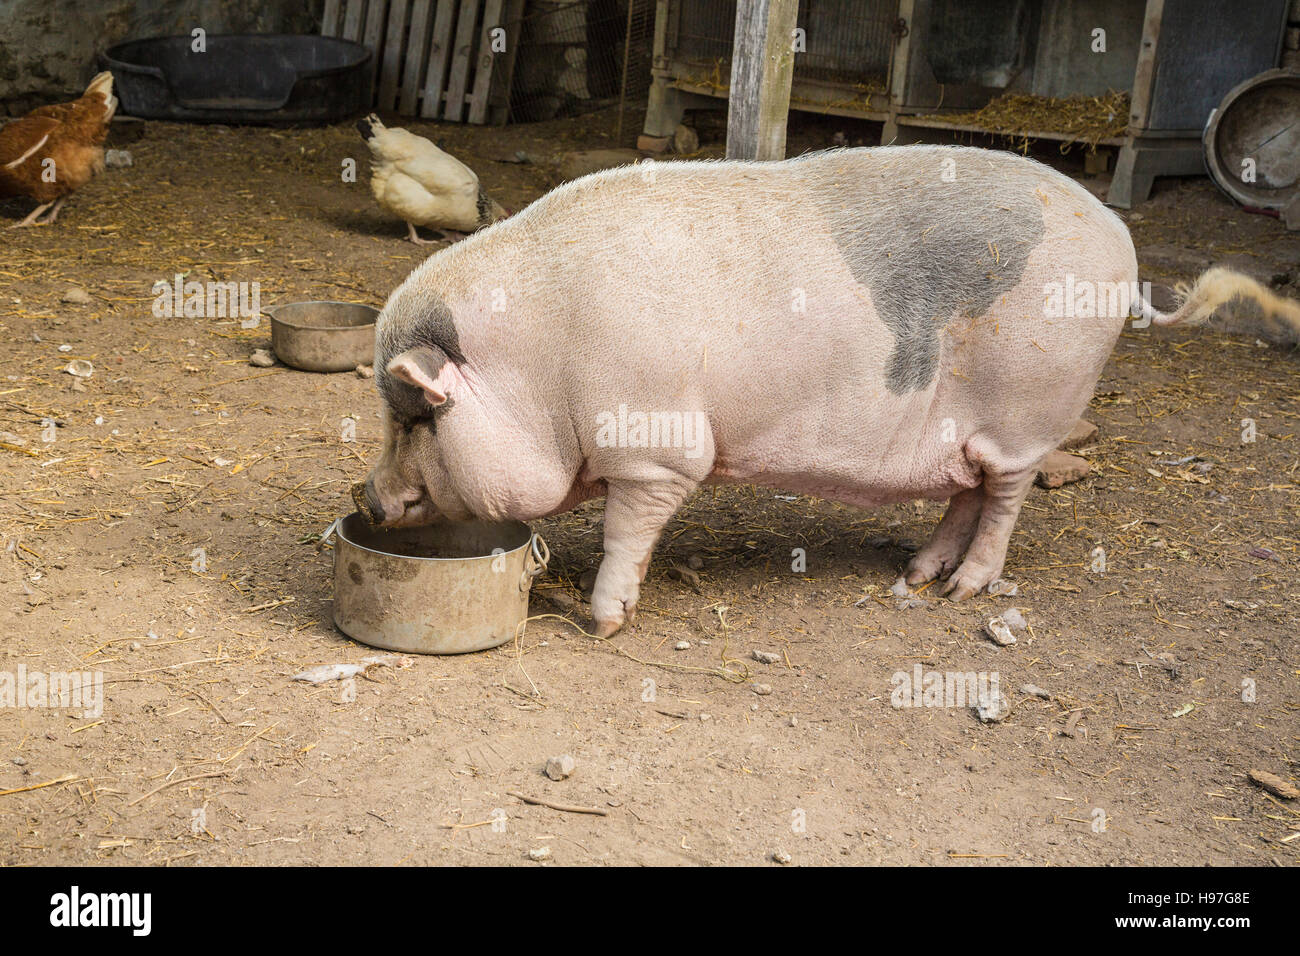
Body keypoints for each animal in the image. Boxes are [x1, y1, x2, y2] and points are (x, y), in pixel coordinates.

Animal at [356, 145, 1299, 637]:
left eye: (415, 418)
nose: (367, 499)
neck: (542, 365)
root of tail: (1119, 243)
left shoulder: (658, 450)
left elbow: (628, 532)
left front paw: (603, 622)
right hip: (963, 429)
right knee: (968, 491)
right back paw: (919, 574)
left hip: (1030, 410)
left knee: (1006, 497)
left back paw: (964, 592)